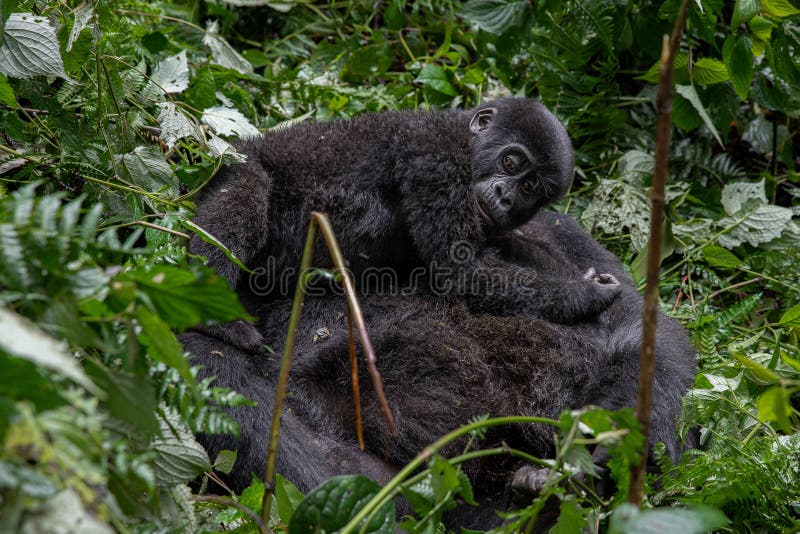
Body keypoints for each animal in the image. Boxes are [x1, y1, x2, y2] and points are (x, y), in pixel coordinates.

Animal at [190, 98, 623, 352]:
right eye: (511, 162)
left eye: (531, 187)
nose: (504, 196)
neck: (466, 140)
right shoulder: (436, 154)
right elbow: (460, 269)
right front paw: (587, 293)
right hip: (234, 163)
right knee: (246, 199)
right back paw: (220, 319)